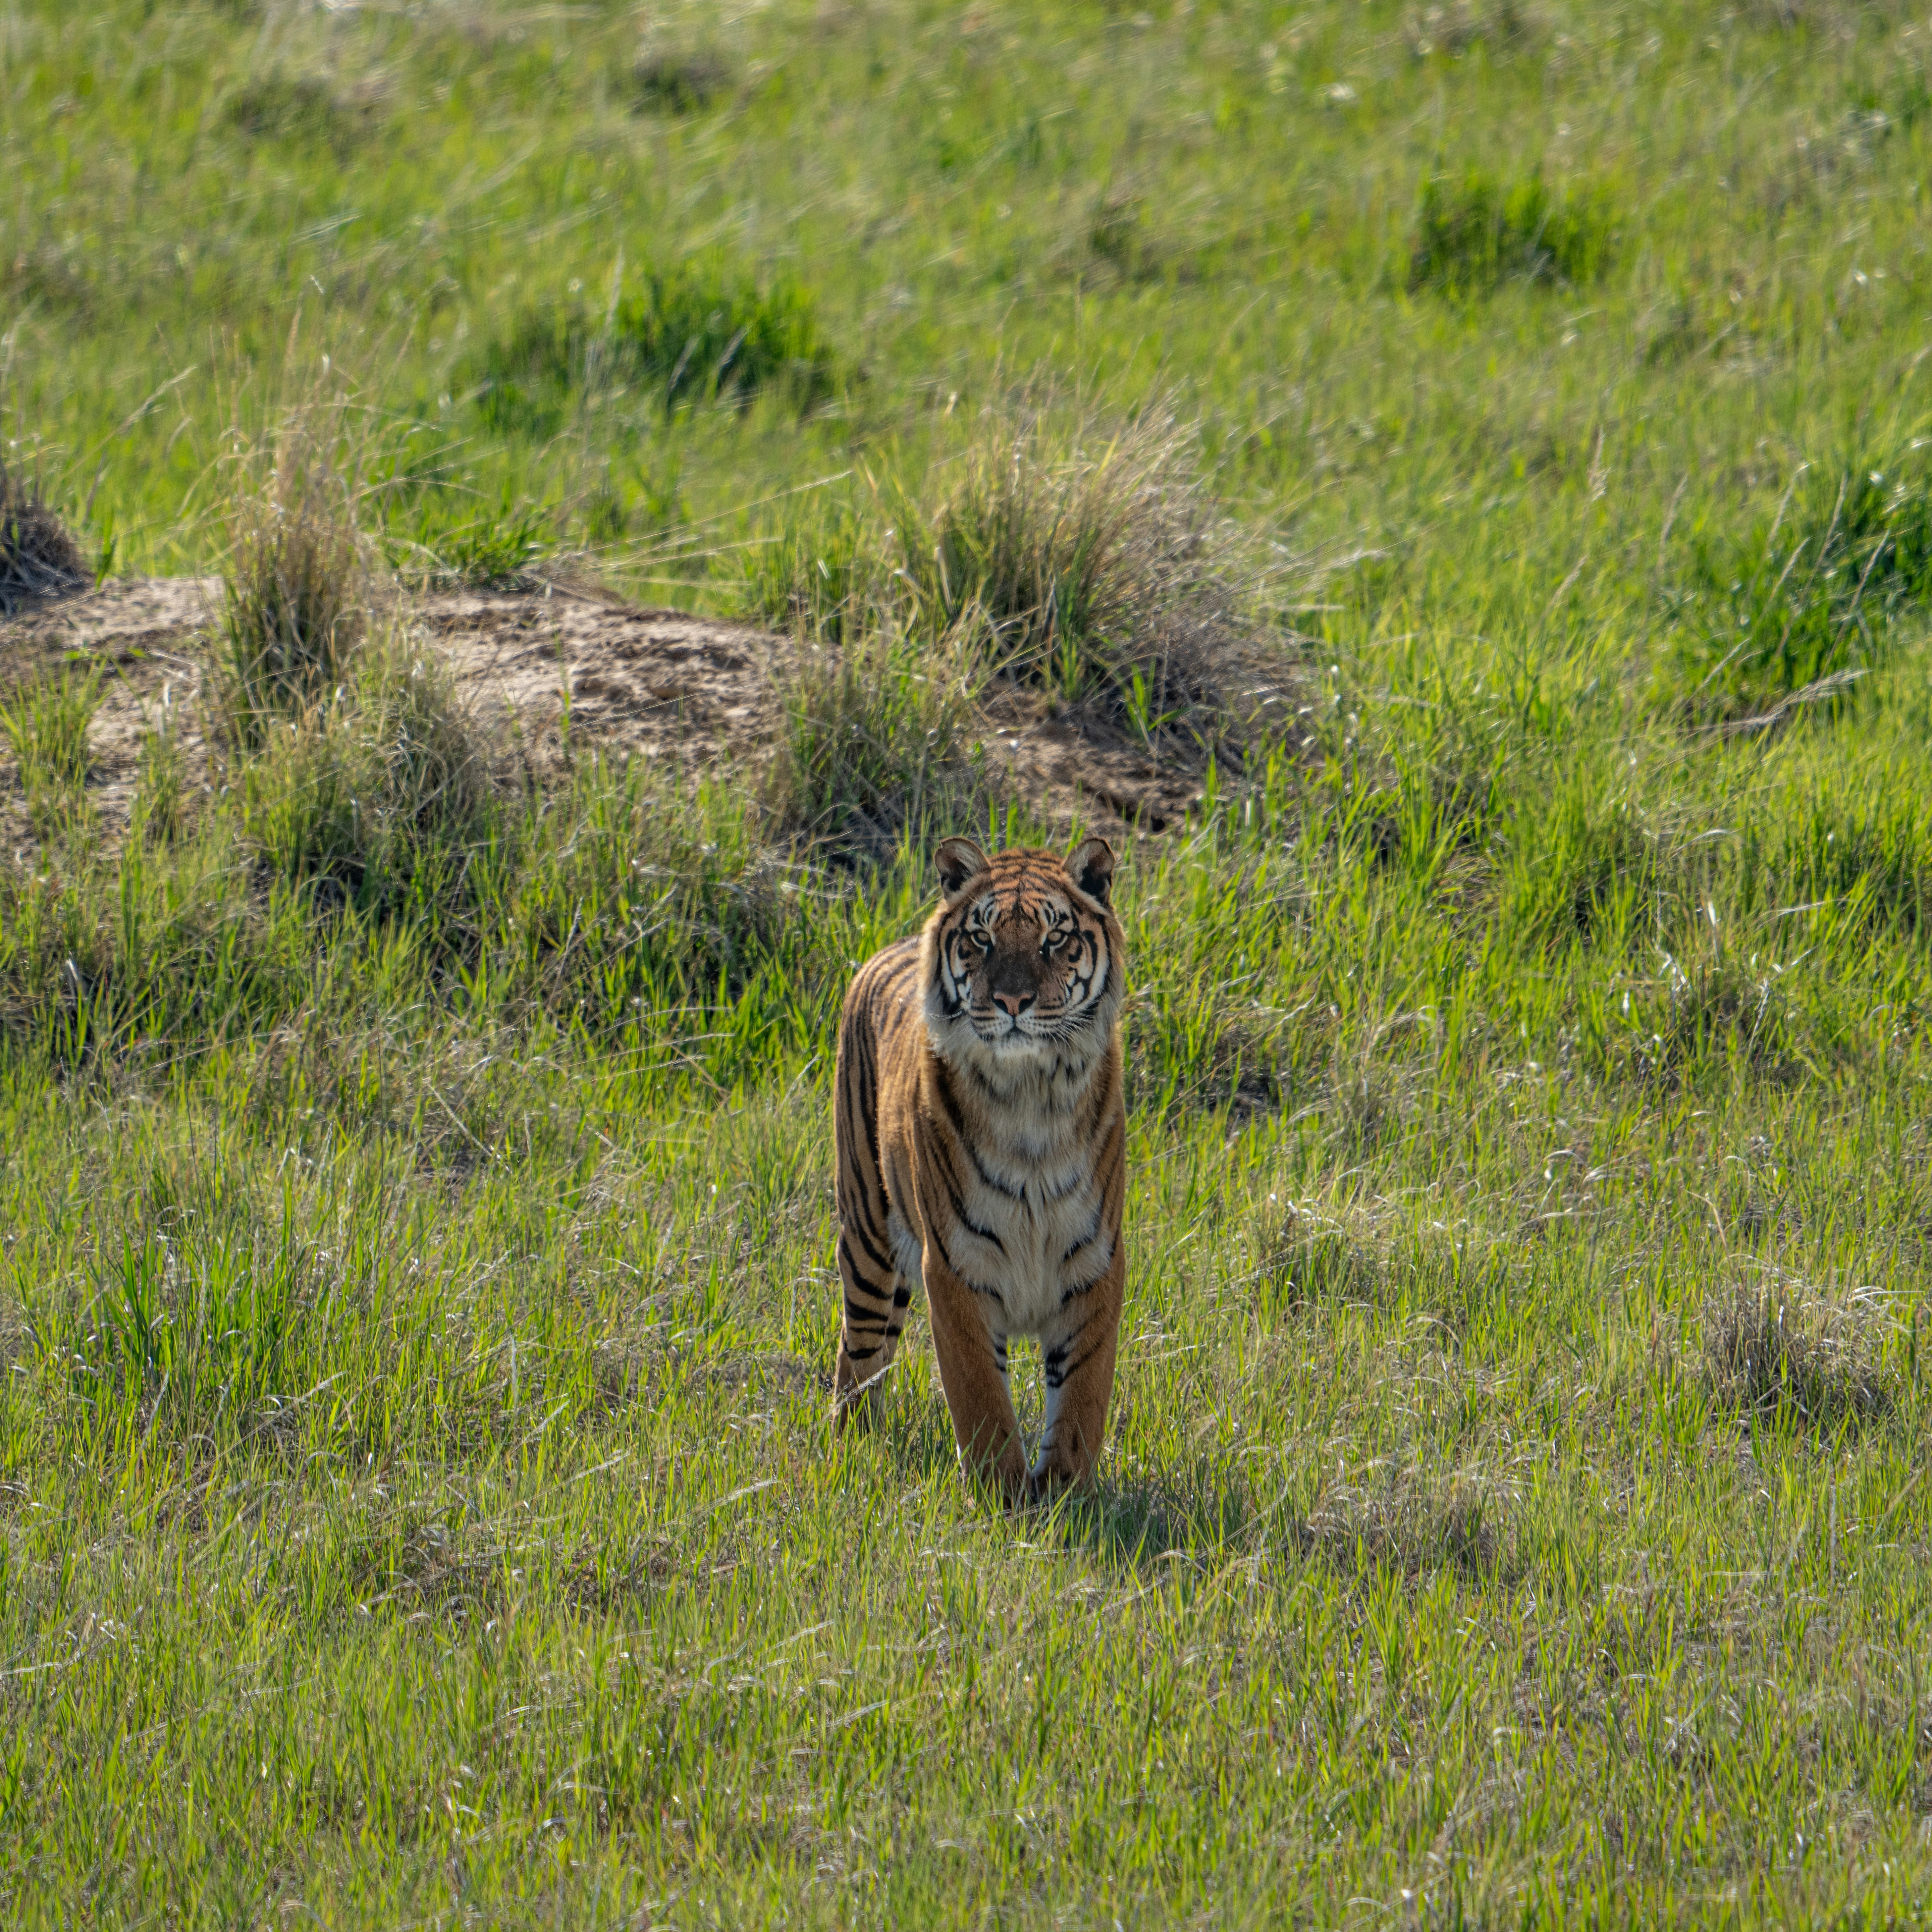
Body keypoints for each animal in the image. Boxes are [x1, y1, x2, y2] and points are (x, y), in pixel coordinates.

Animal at [831, 835, 1128, 1504]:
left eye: (1054, 939)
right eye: (982, 939)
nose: (1012, 1002)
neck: (1030, 1097)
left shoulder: (1094, 1261)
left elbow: (1083, 1398)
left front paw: (1067, 1497)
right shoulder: (957, 1267)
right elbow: (982, 1398)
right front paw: (1005, 1497)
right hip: (868, 1241)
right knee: (858, 1363)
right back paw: (852, 1450)